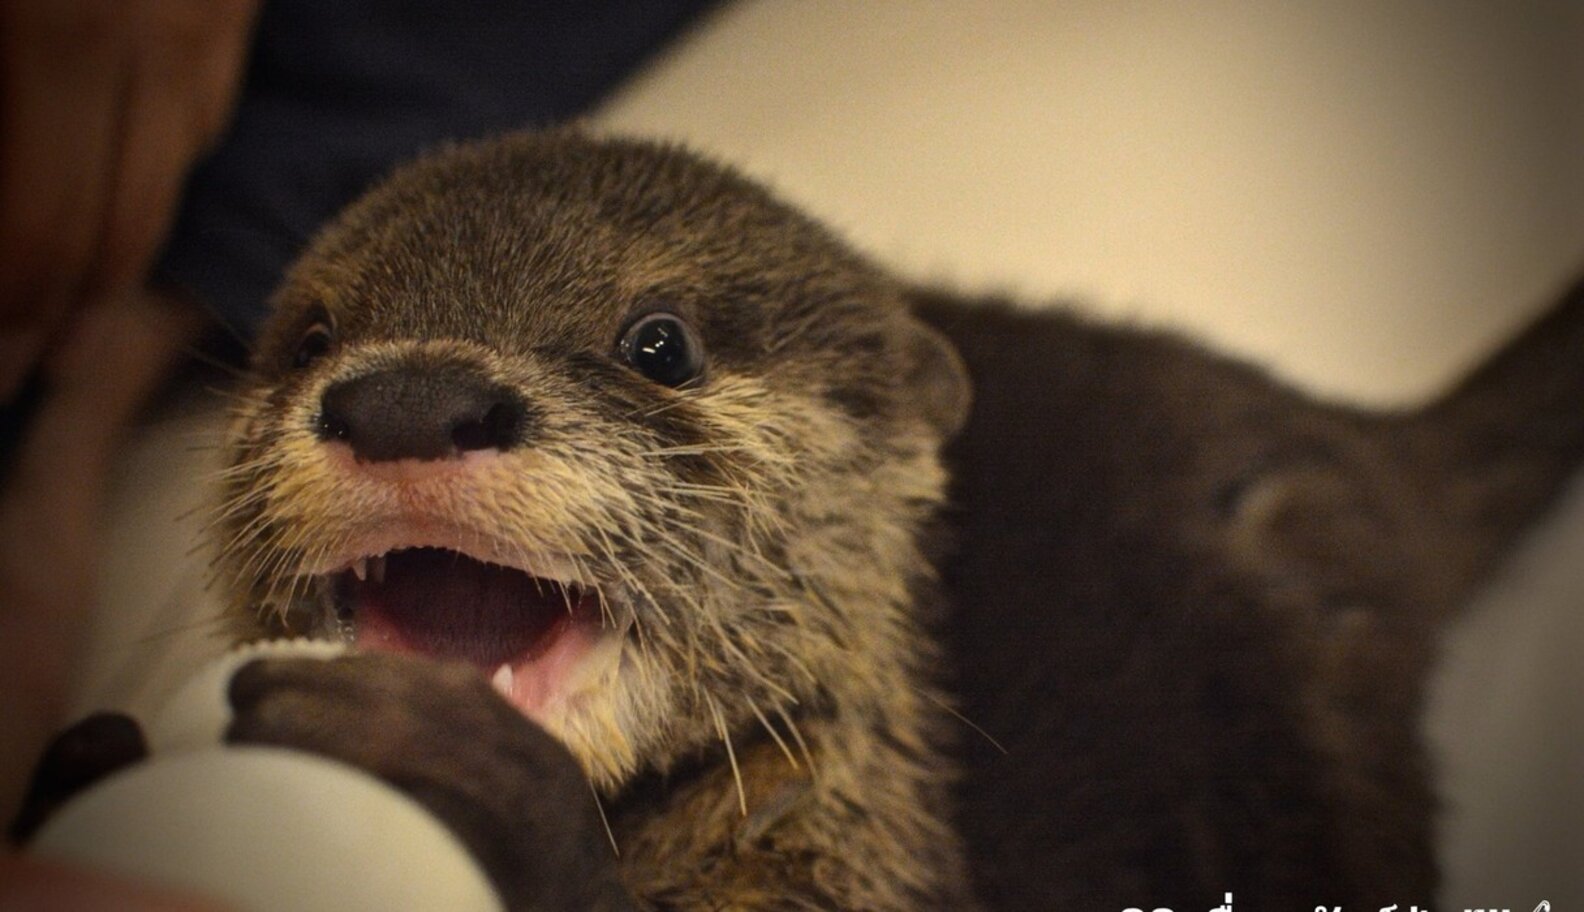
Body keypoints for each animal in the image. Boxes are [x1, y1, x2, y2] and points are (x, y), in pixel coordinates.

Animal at [19, 129, 1584, 909]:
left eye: (659, 342)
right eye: (312, 335)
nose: (405, 397)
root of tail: (1336, 426)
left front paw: (479, 787)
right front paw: (76, 765)